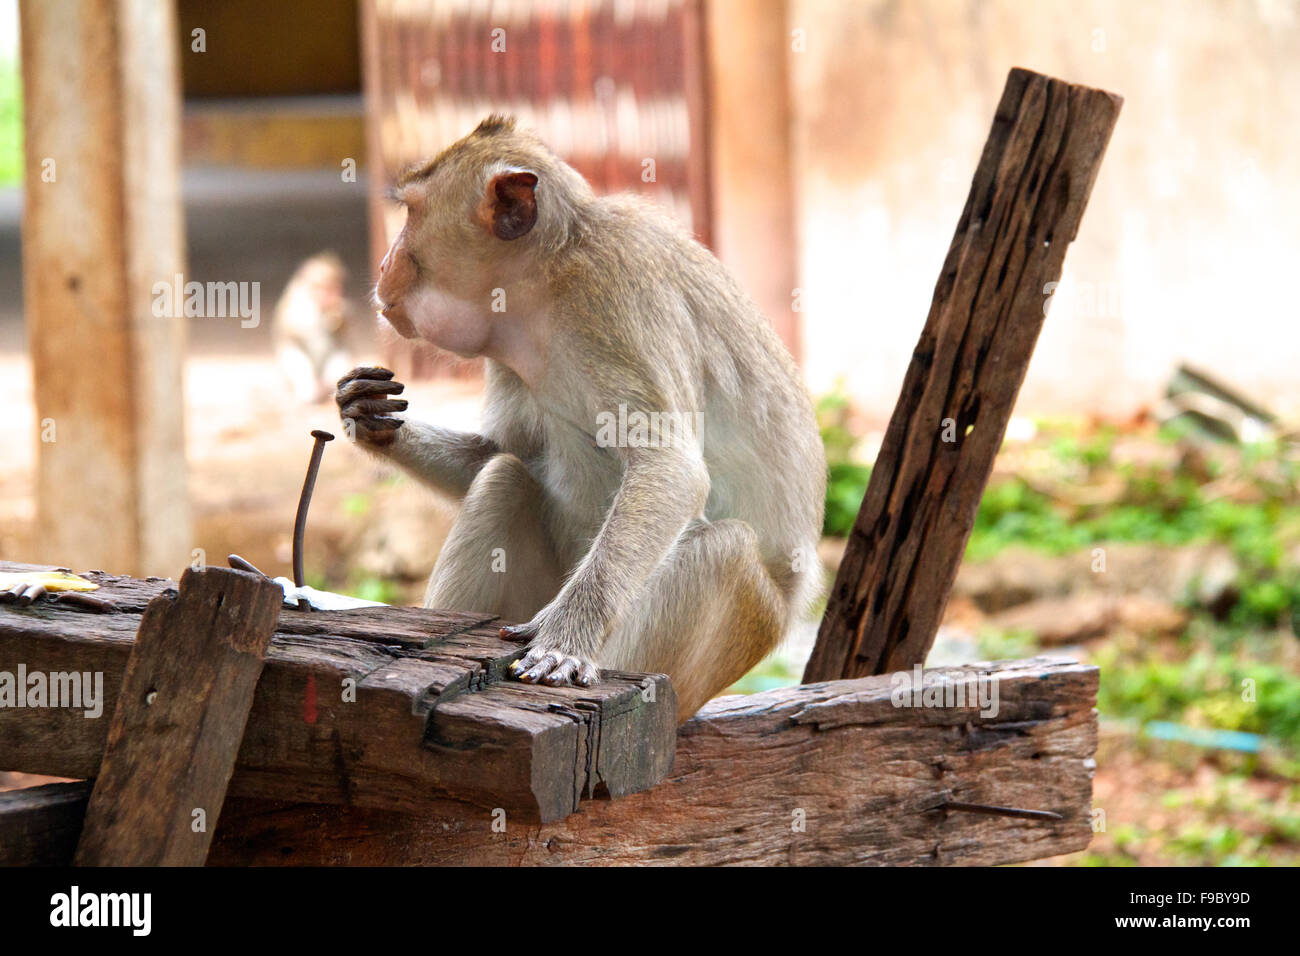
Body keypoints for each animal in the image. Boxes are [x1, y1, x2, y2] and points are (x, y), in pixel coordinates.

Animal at [273, 252, 354, 403]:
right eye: (326, 288)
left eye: (337, 287)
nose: (334, 297)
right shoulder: (297, 302)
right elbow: (295, 330)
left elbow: (342, 332)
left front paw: (341, 311)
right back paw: (310, 392)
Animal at [337, 115, 825, 723]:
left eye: (411, 213)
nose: (384, 263)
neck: (545, 289)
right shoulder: (508, 354)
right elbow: (505, 452)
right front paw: (368, 417)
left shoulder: (615, 299)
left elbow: (670, 468)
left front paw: (567, 640)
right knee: (505, 477)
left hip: (715, 652)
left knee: (725, 551)